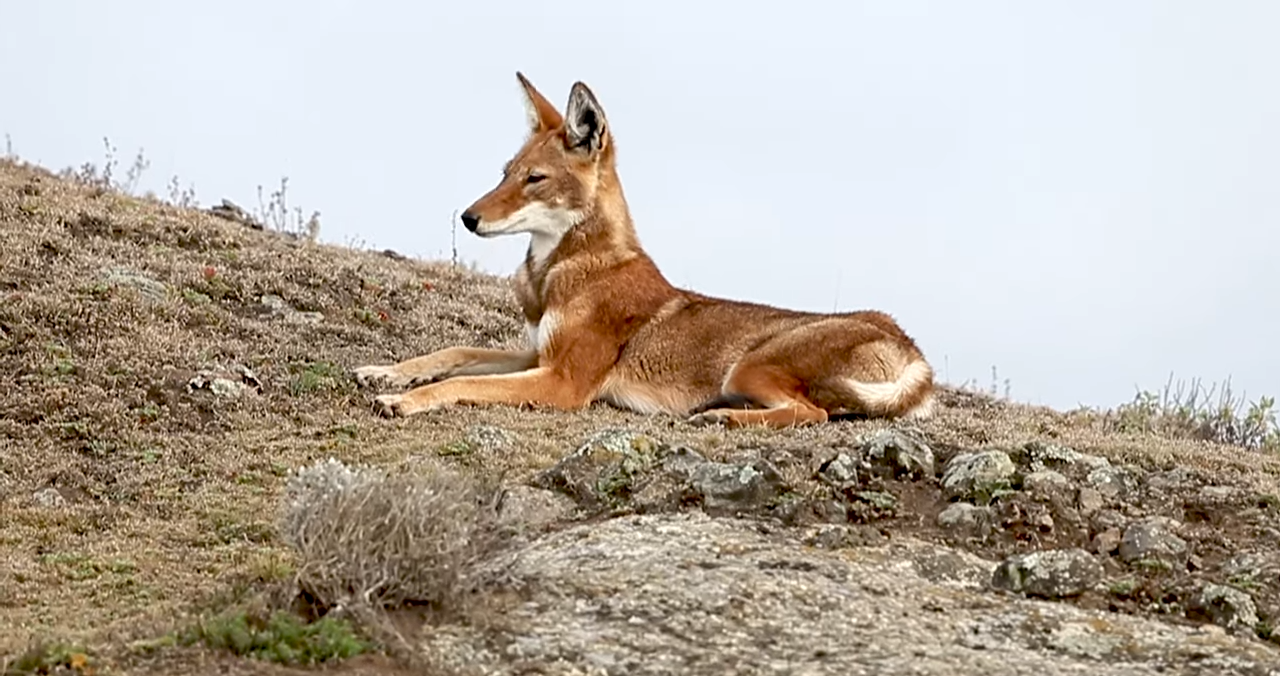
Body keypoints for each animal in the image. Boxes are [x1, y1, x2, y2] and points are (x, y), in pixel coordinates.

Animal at [352, 72, 936, 429]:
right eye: (505, 174)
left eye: (535, 180)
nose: (468, 218)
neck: (565, 273)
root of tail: (909, 345)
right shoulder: (536, 355)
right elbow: (455, 354)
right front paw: (387, 373)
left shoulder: (563, 382)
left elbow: (463, 380)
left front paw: (402, 400)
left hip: (747, 368)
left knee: (812, 414)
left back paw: (724, 418)